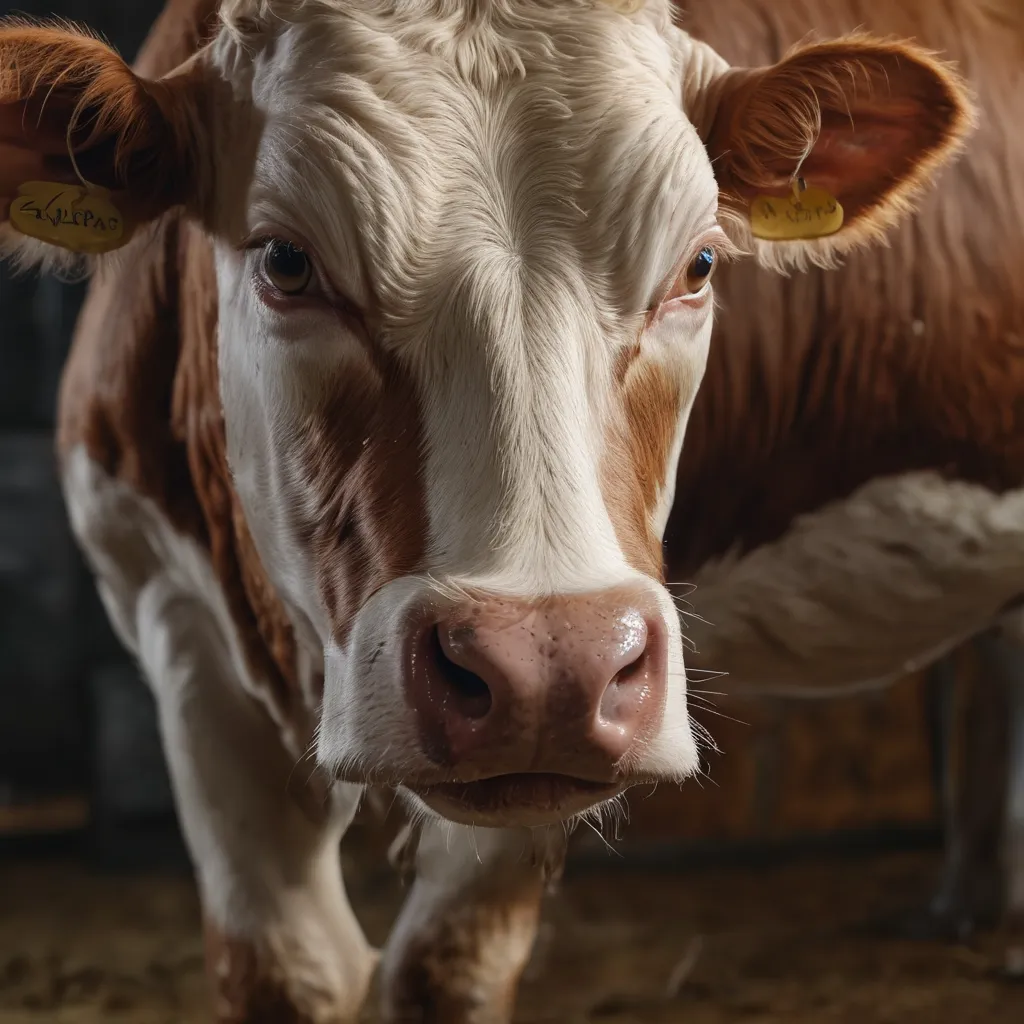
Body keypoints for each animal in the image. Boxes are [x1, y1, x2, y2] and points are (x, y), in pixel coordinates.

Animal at [0, 0, 972, 1020]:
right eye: (286, 260)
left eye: (700, 265)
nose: (549, 667)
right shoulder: (168, 610)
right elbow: (287, 968)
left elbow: (446, 961)